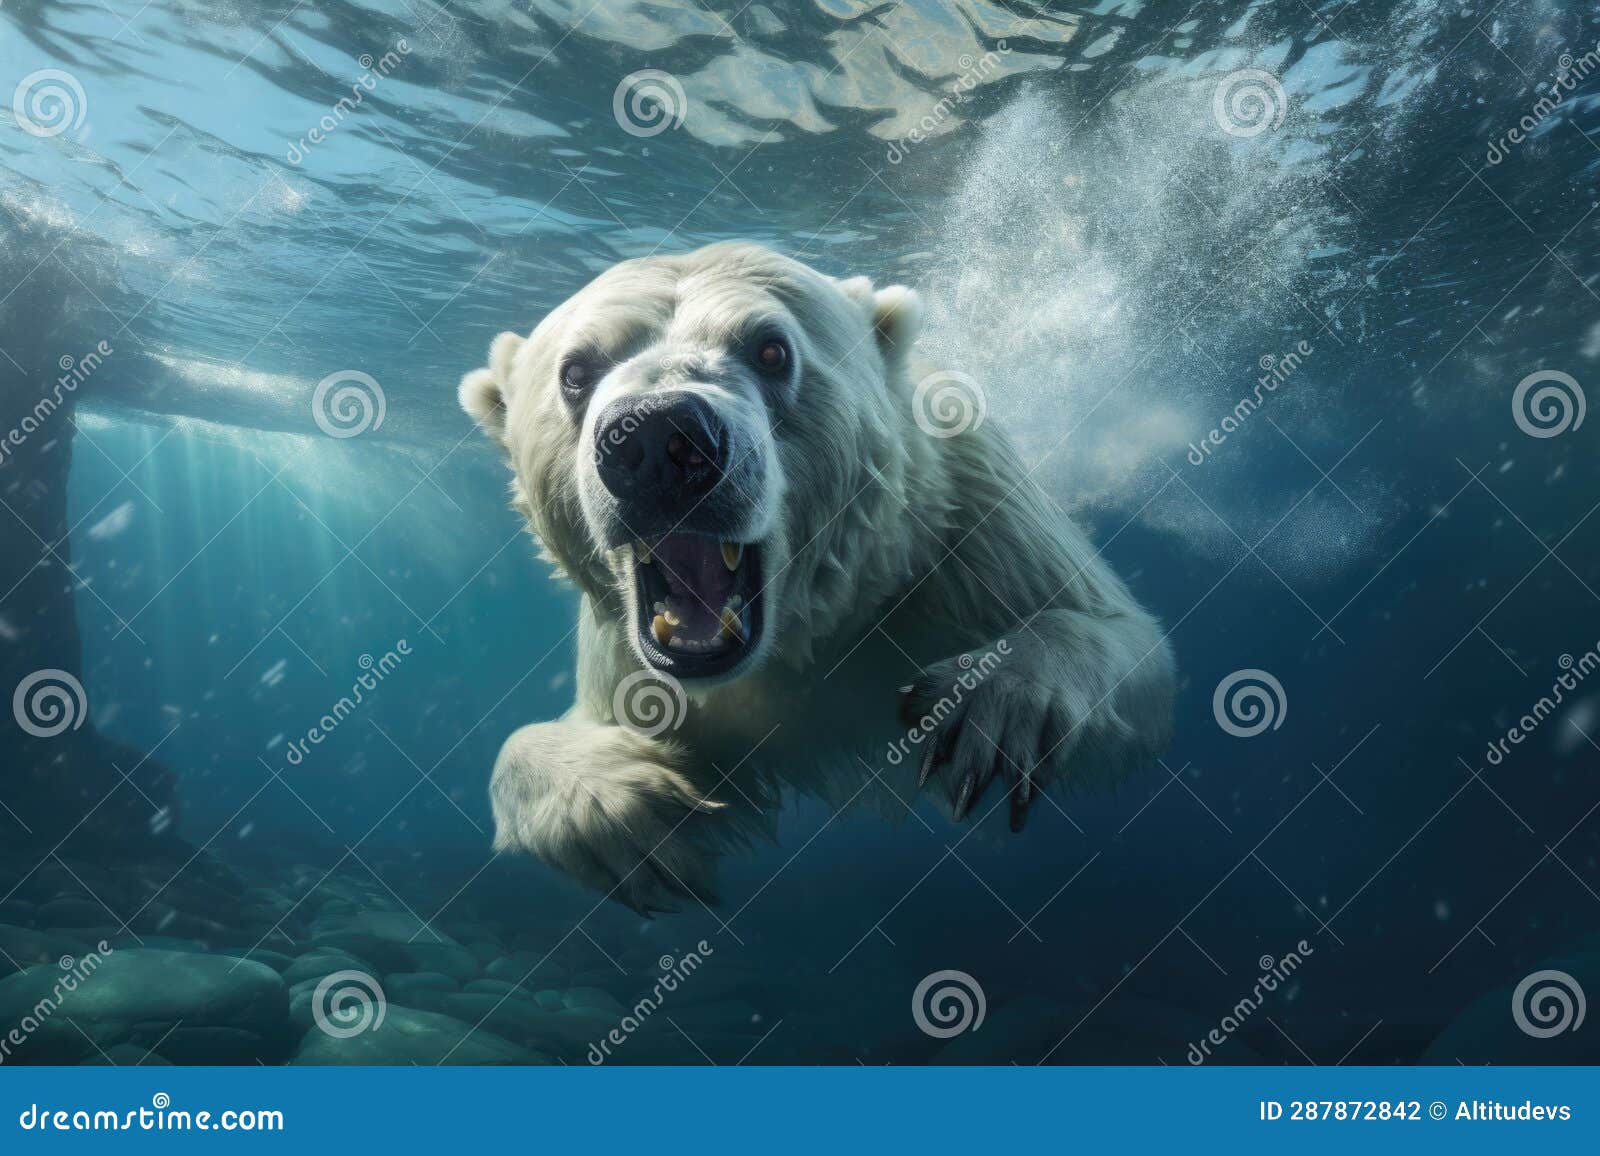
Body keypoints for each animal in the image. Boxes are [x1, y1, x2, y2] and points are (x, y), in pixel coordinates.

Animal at [458, 241, 1174, 914]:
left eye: (772, 349)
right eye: (575, 370)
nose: (659, 437)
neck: (806, 635)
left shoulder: (969, 522)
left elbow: (1131, 647)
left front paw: (990, 702)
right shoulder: (634, 672)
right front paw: (622, 806)